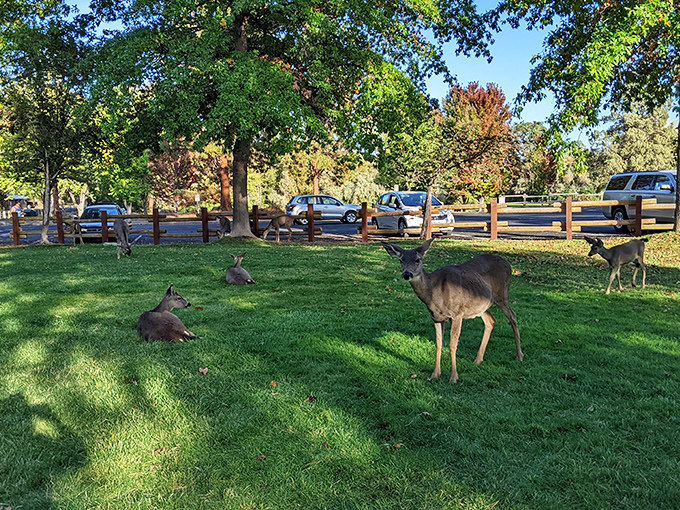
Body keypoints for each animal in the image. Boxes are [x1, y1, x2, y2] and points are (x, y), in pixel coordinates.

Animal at [382, 239, 522, 383]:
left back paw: (519, 355)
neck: (435, 295)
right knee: (490, 320)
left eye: (417, 259)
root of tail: (508, 264)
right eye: (401, 260)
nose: (406, 274)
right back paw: (478, 359)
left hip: (502, 294)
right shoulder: (436, 318)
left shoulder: (457, 314)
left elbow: (452, 345)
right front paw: (434, 374)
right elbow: (438, 344)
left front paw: (453, 377)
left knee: (512, 315)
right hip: (480, 305)